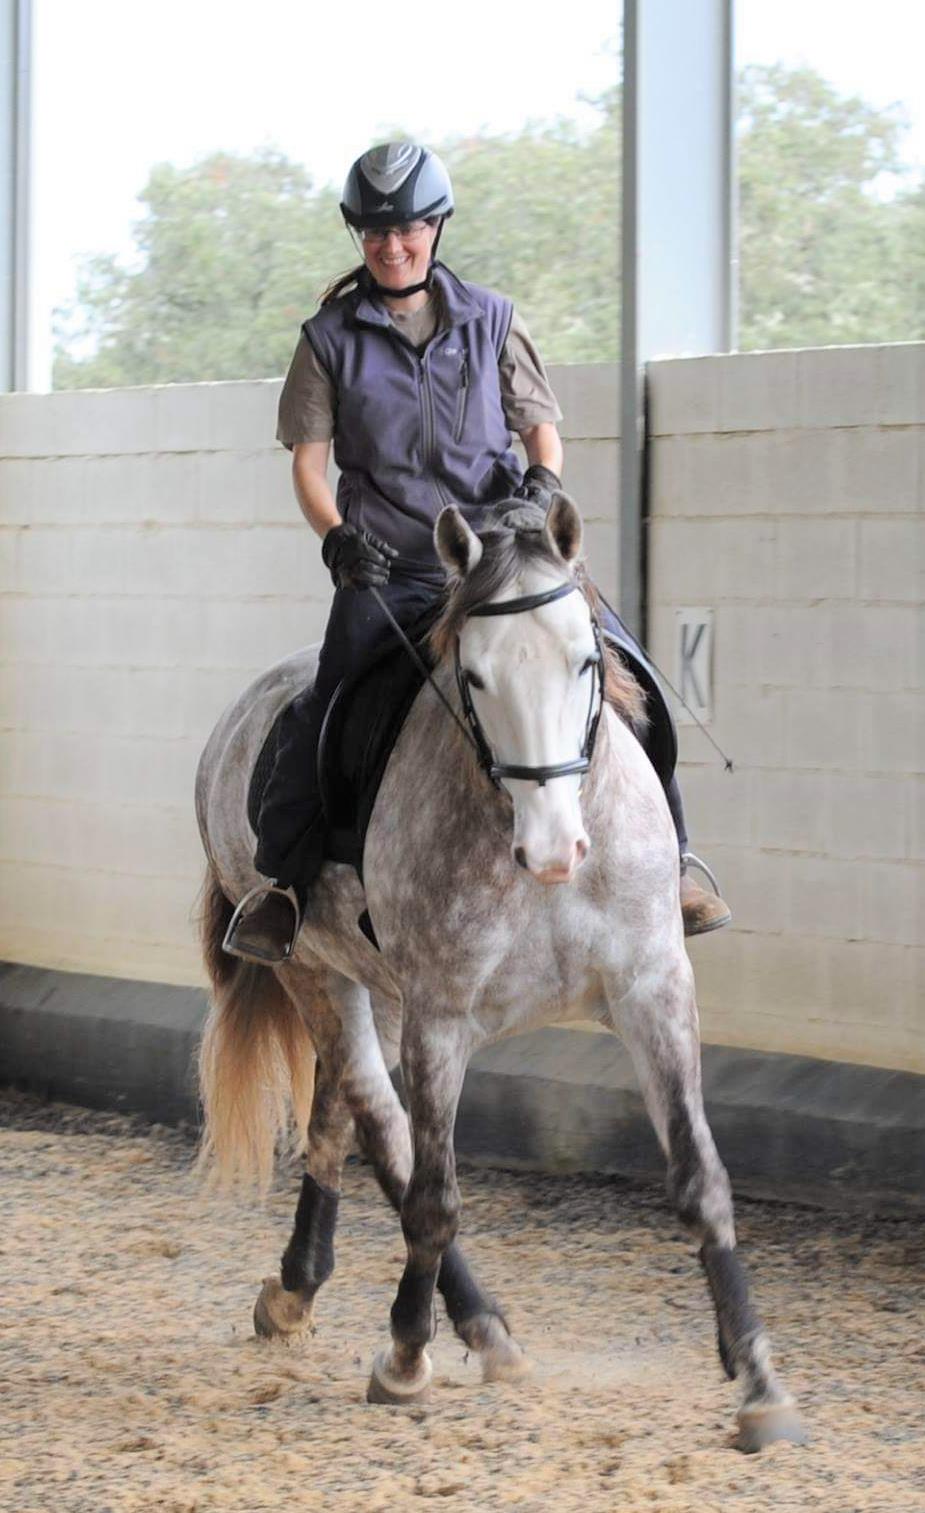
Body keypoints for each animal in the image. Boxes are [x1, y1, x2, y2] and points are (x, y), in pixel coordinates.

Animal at [195, 494, 805, 1453]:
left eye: (586, 658)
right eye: (472, 678)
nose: (554, 849)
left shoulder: (654, 991)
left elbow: (701, 1179)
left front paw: (758, 1381)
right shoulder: (441, 1015)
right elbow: (433, 1195)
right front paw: (404, 1359)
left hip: (360, 984)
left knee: (336, 1114)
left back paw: (303, 1290)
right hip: (316, 975)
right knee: (386, 1133)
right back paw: (473, 1327)